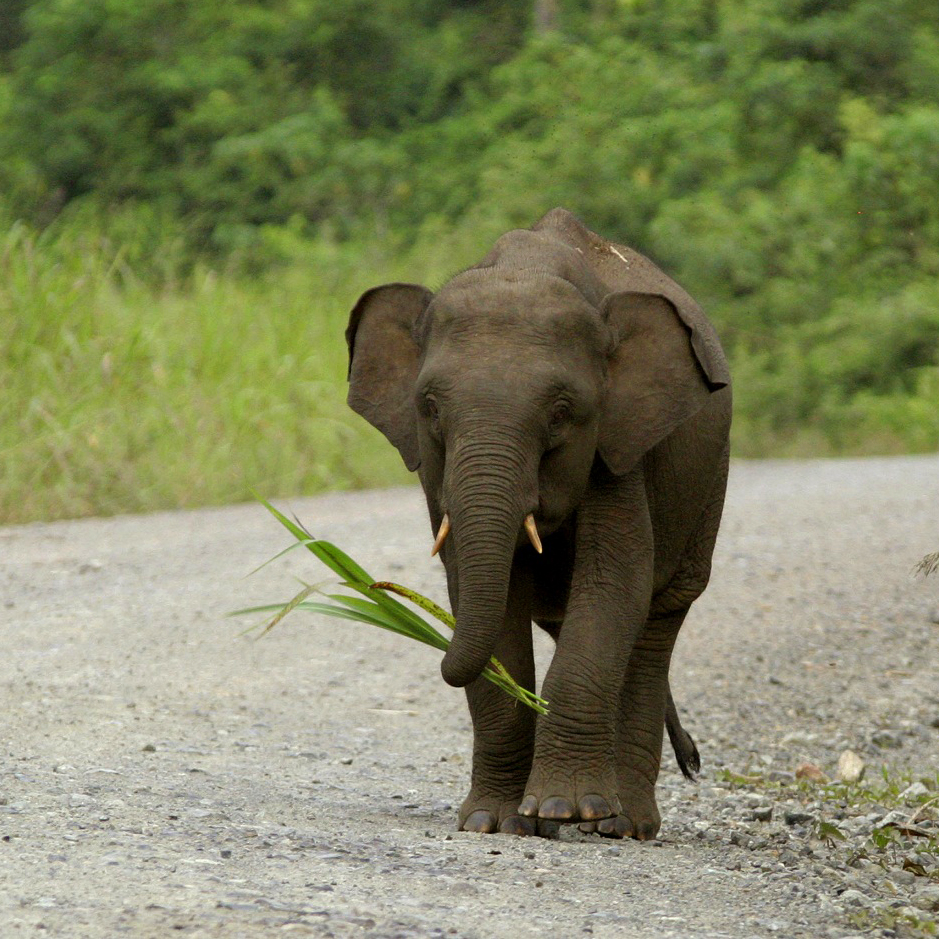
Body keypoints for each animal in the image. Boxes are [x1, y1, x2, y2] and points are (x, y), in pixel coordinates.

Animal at [345, 207, 731, 839]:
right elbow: (481, 593)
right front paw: (492, 822)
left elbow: (615, 584)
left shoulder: (619, 448)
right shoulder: (434, 469)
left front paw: (562, 811)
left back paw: (622, 824)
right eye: (429, 407)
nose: (696, 761)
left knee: (658, 622)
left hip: (707, 488)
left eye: (562, 413)